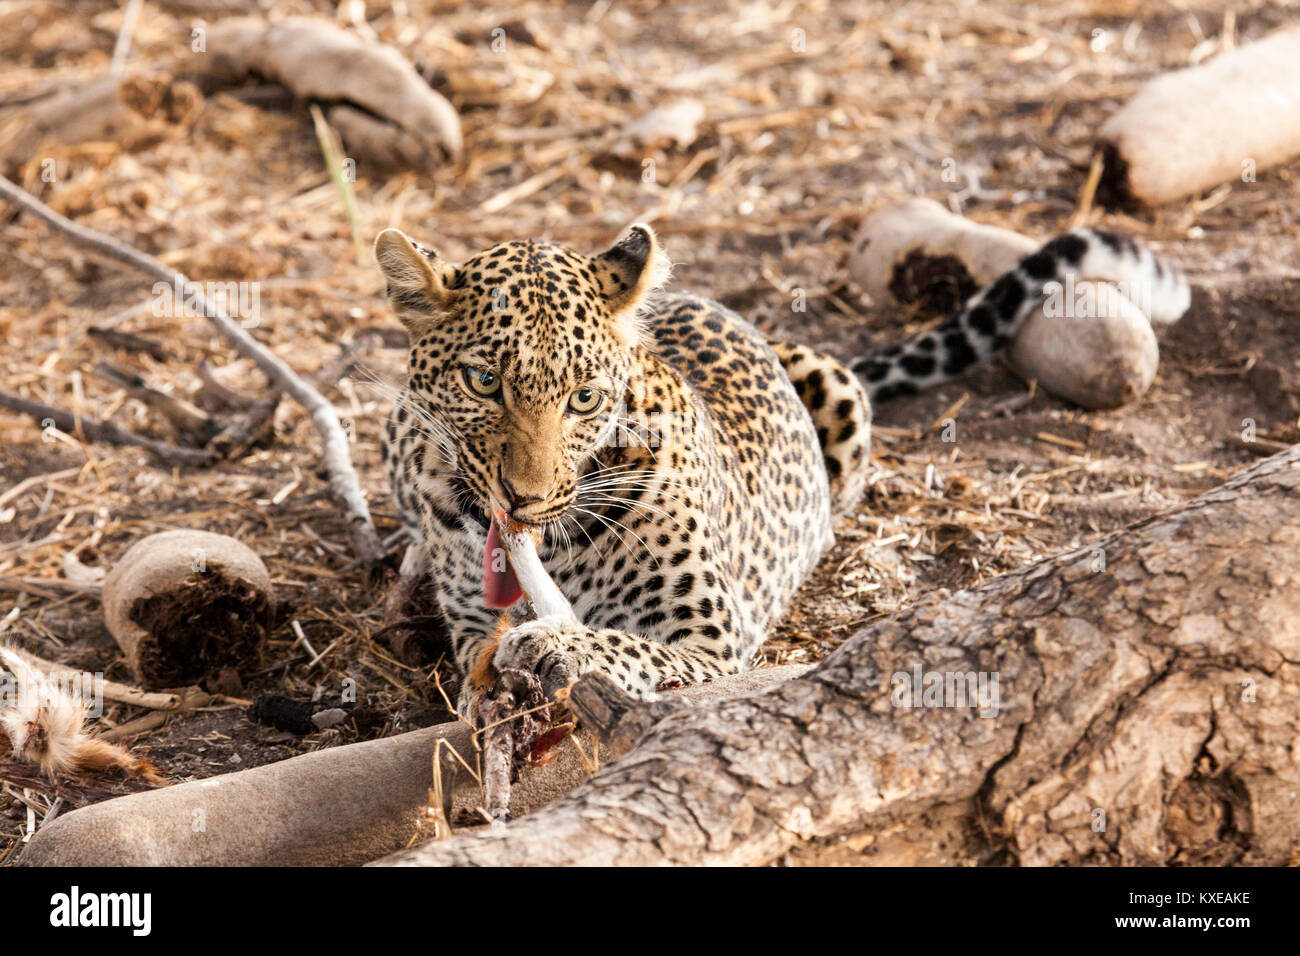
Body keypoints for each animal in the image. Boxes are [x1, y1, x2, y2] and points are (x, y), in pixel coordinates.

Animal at [374, 222, 1188, 712]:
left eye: (585, 398)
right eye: (484, 382)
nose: (525, 499)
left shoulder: (711, 637)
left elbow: (626, 643)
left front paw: (555, 641)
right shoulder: (472, 621)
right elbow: (479, 664)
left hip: (840, 392)